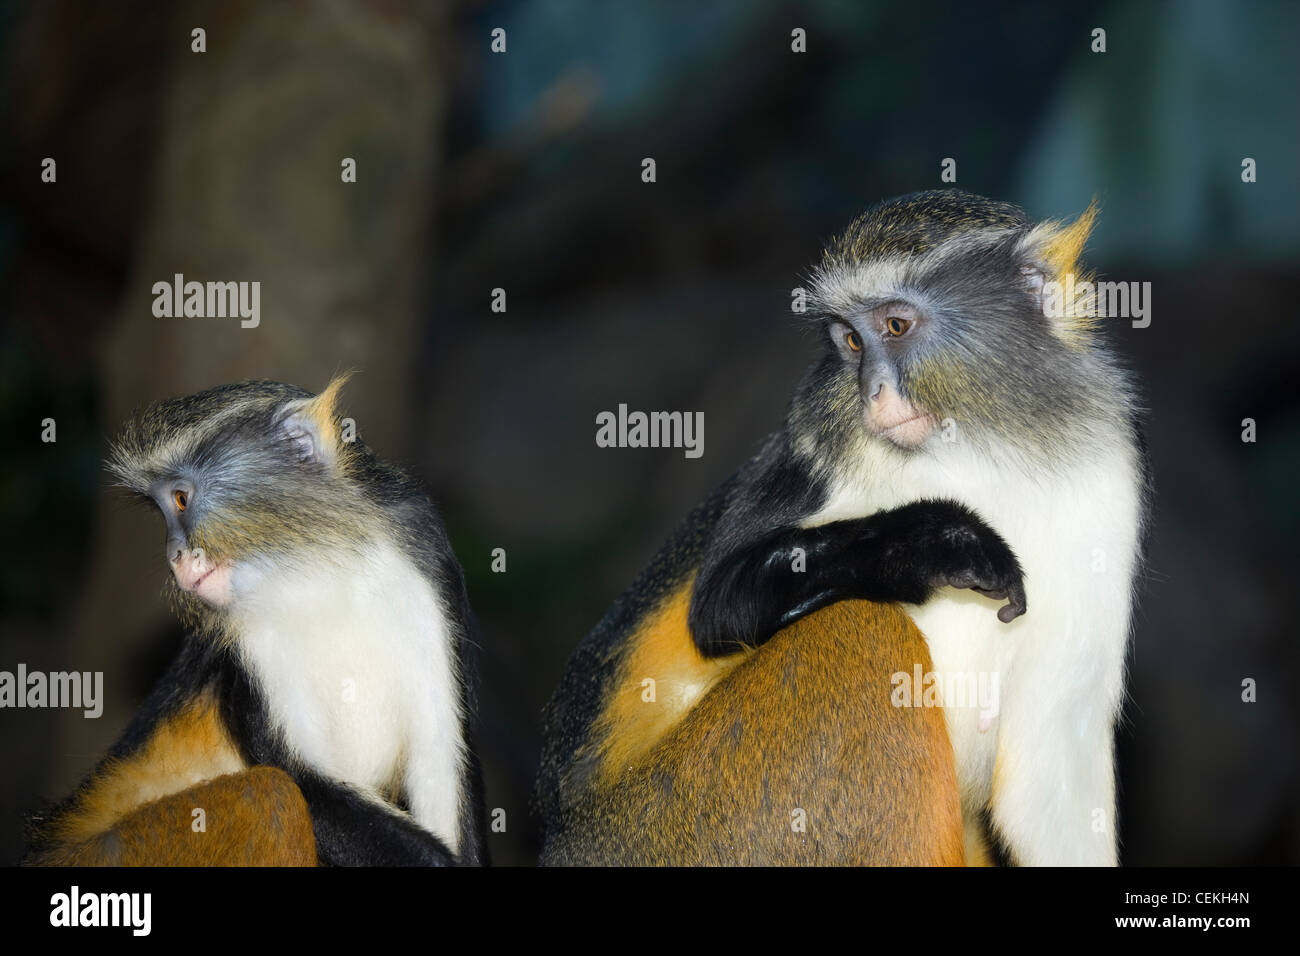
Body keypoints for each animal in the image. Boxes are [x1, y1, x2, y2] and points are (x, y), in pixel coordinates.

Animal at [26, 377, 487, 866]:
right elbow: (300, 781)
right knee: (267, 796)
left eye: (180, 499)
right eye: (162, 513)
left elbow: (439, 760)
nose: (174, 556)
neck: (319, 569)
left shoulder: (426, 563)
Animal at [536, 189, 1147, 866]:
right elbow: (719, 603)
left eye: (895, 327)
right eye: (851, 341)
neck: (979, 443)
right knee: (862, 624)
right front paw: (932, 543)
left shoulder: (1106, 479)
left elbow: (1054, 765)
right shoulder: (813, 444)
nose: (873, 392)